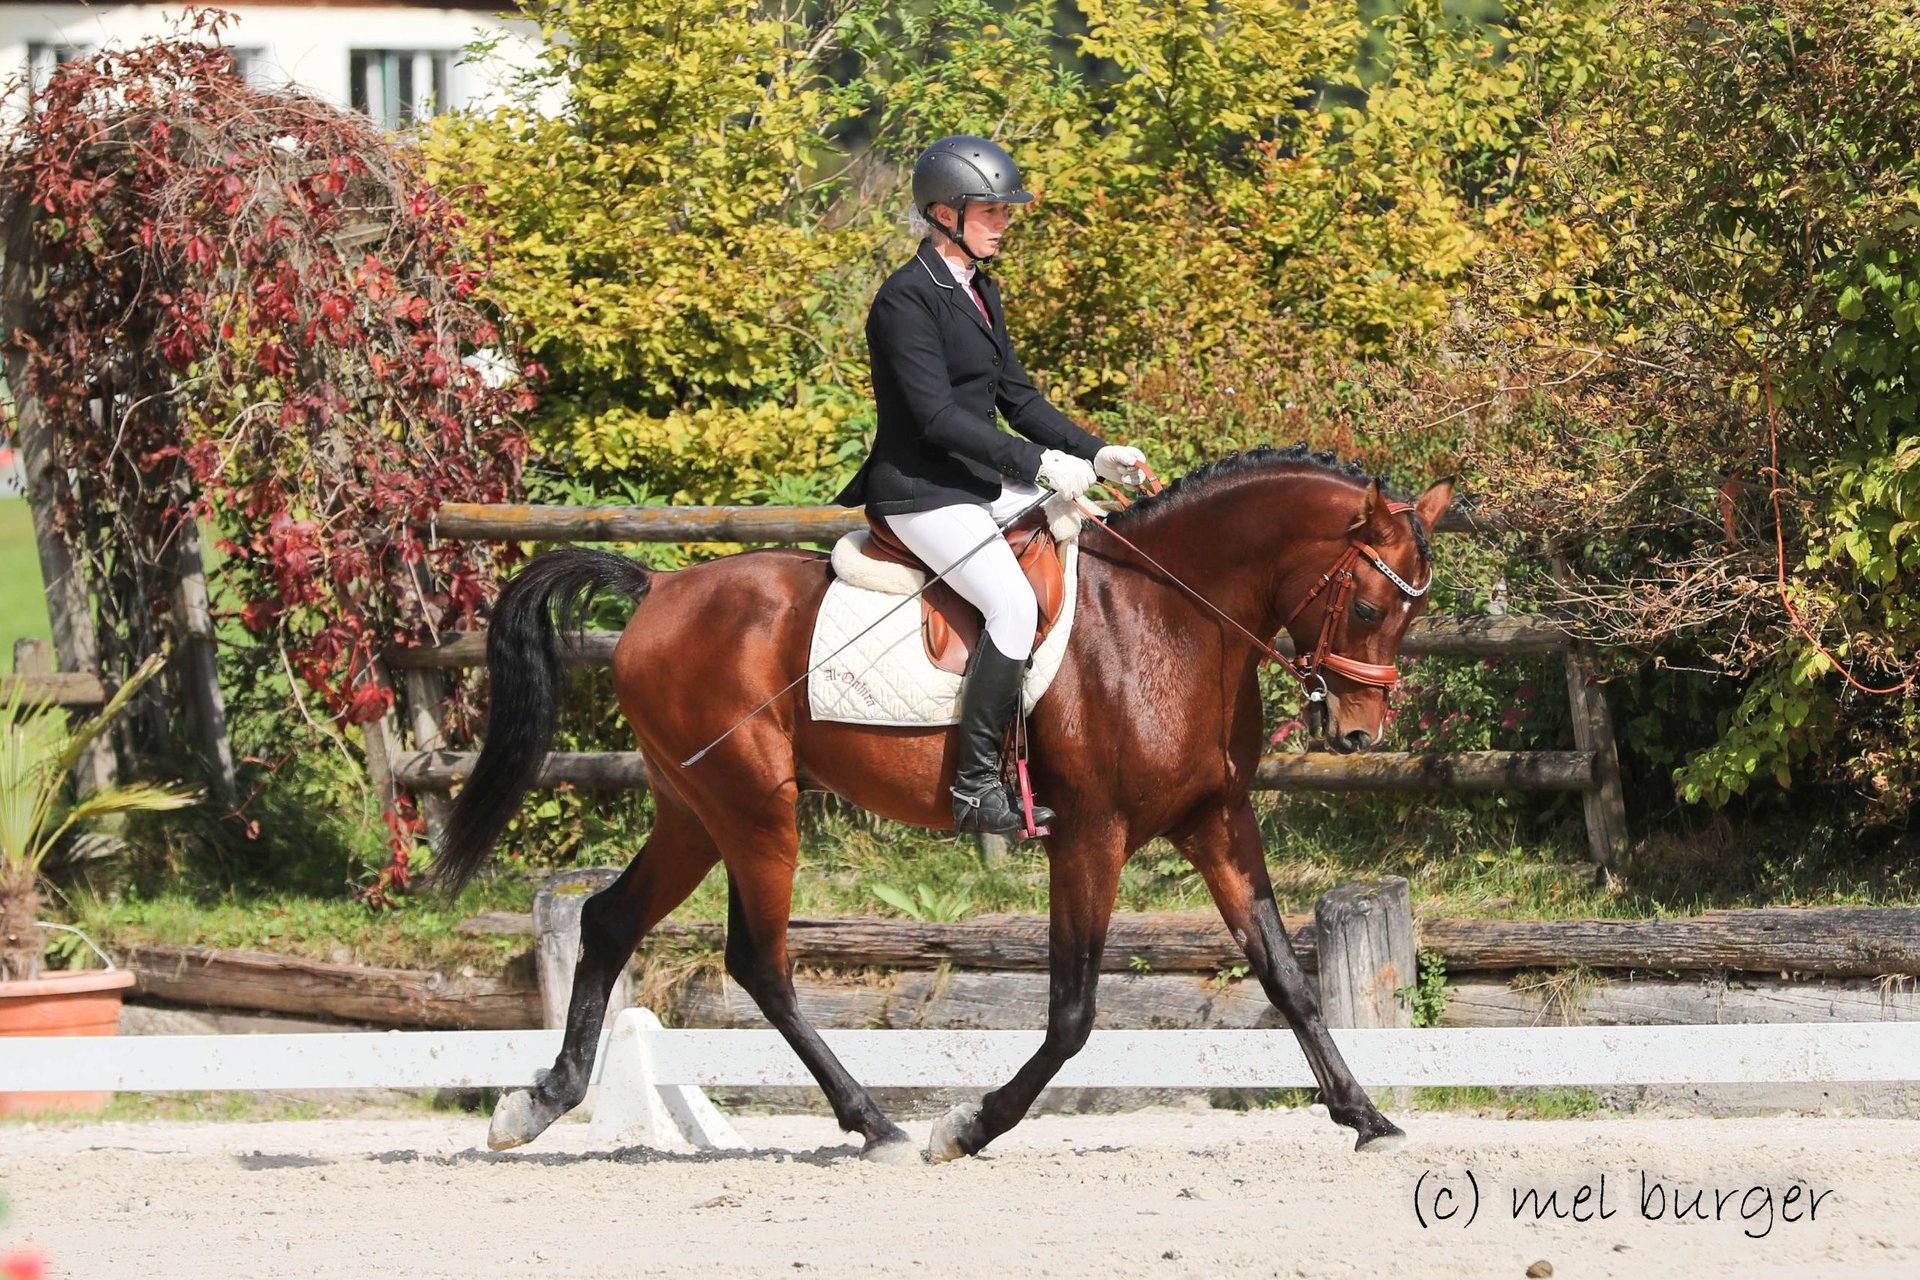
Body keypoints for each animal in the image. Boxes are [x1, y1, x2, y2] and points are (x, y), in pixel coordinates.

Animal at [434, 444, 1453, 1164]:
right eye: (1370, 608)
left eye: (1410, 611)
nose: (1358, 734)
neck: (1170, 620)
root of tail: (659, 587)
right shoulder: (1091, 837)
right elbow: (1074, 1012)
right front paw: (966, 1126)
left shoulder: (1217, 822)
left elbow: (1287, 977)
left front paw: (1366, 1118)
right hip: (756, 813)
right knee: (760, 962)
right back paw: (876, 1124)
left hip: (693, 811)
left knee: (609, 922)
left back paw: (540, 1104)